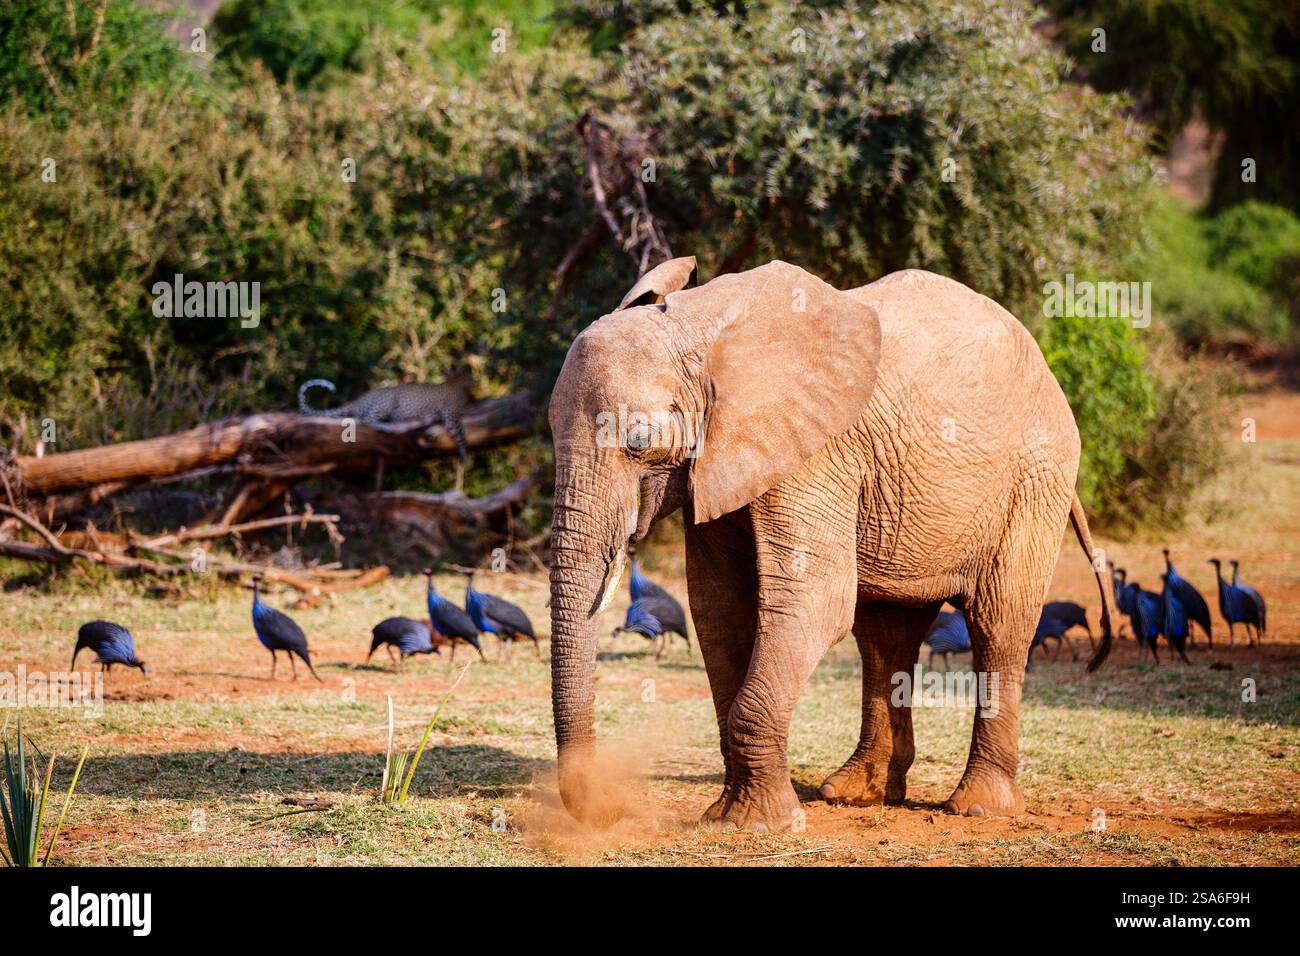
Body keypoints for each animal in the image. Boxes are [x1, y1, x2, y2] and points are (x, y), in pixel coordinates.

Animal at [547, 256, 1117, 831]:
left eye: (637, 441)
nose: (605, 807)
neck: (700, 328)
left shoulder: (814, 454)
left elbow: (813, 602)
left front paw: (753, 823)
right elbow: (718, 609)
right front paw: (726, 813)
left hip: (1035, 479)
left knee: (998, 623)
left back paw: (978, 806)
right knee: (884, 632)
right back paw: (854, 793)